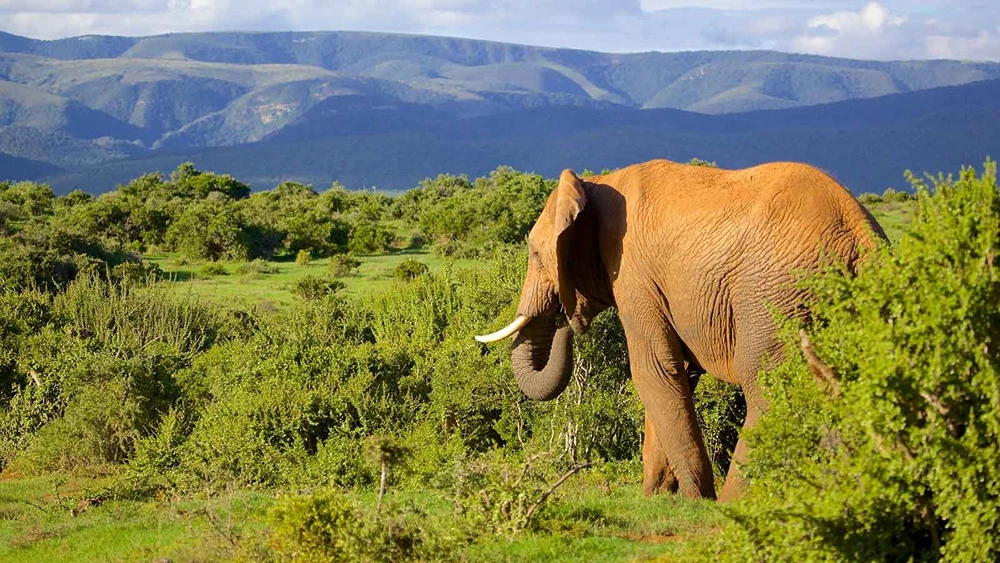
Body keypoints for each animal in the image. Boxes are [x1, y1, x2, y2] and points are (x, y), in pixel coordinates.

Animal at [475, 159, 885, 501]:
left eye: (534, 254)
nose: (565, 323)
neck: (597, 185)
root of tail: (859, 235)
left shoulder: (634, 276)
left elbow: (652, 370)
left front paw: (694, 499)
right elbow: (677, 375)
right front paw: (659, 496)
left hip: (775, 292)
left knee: (766, 385)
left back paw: (734, 502)